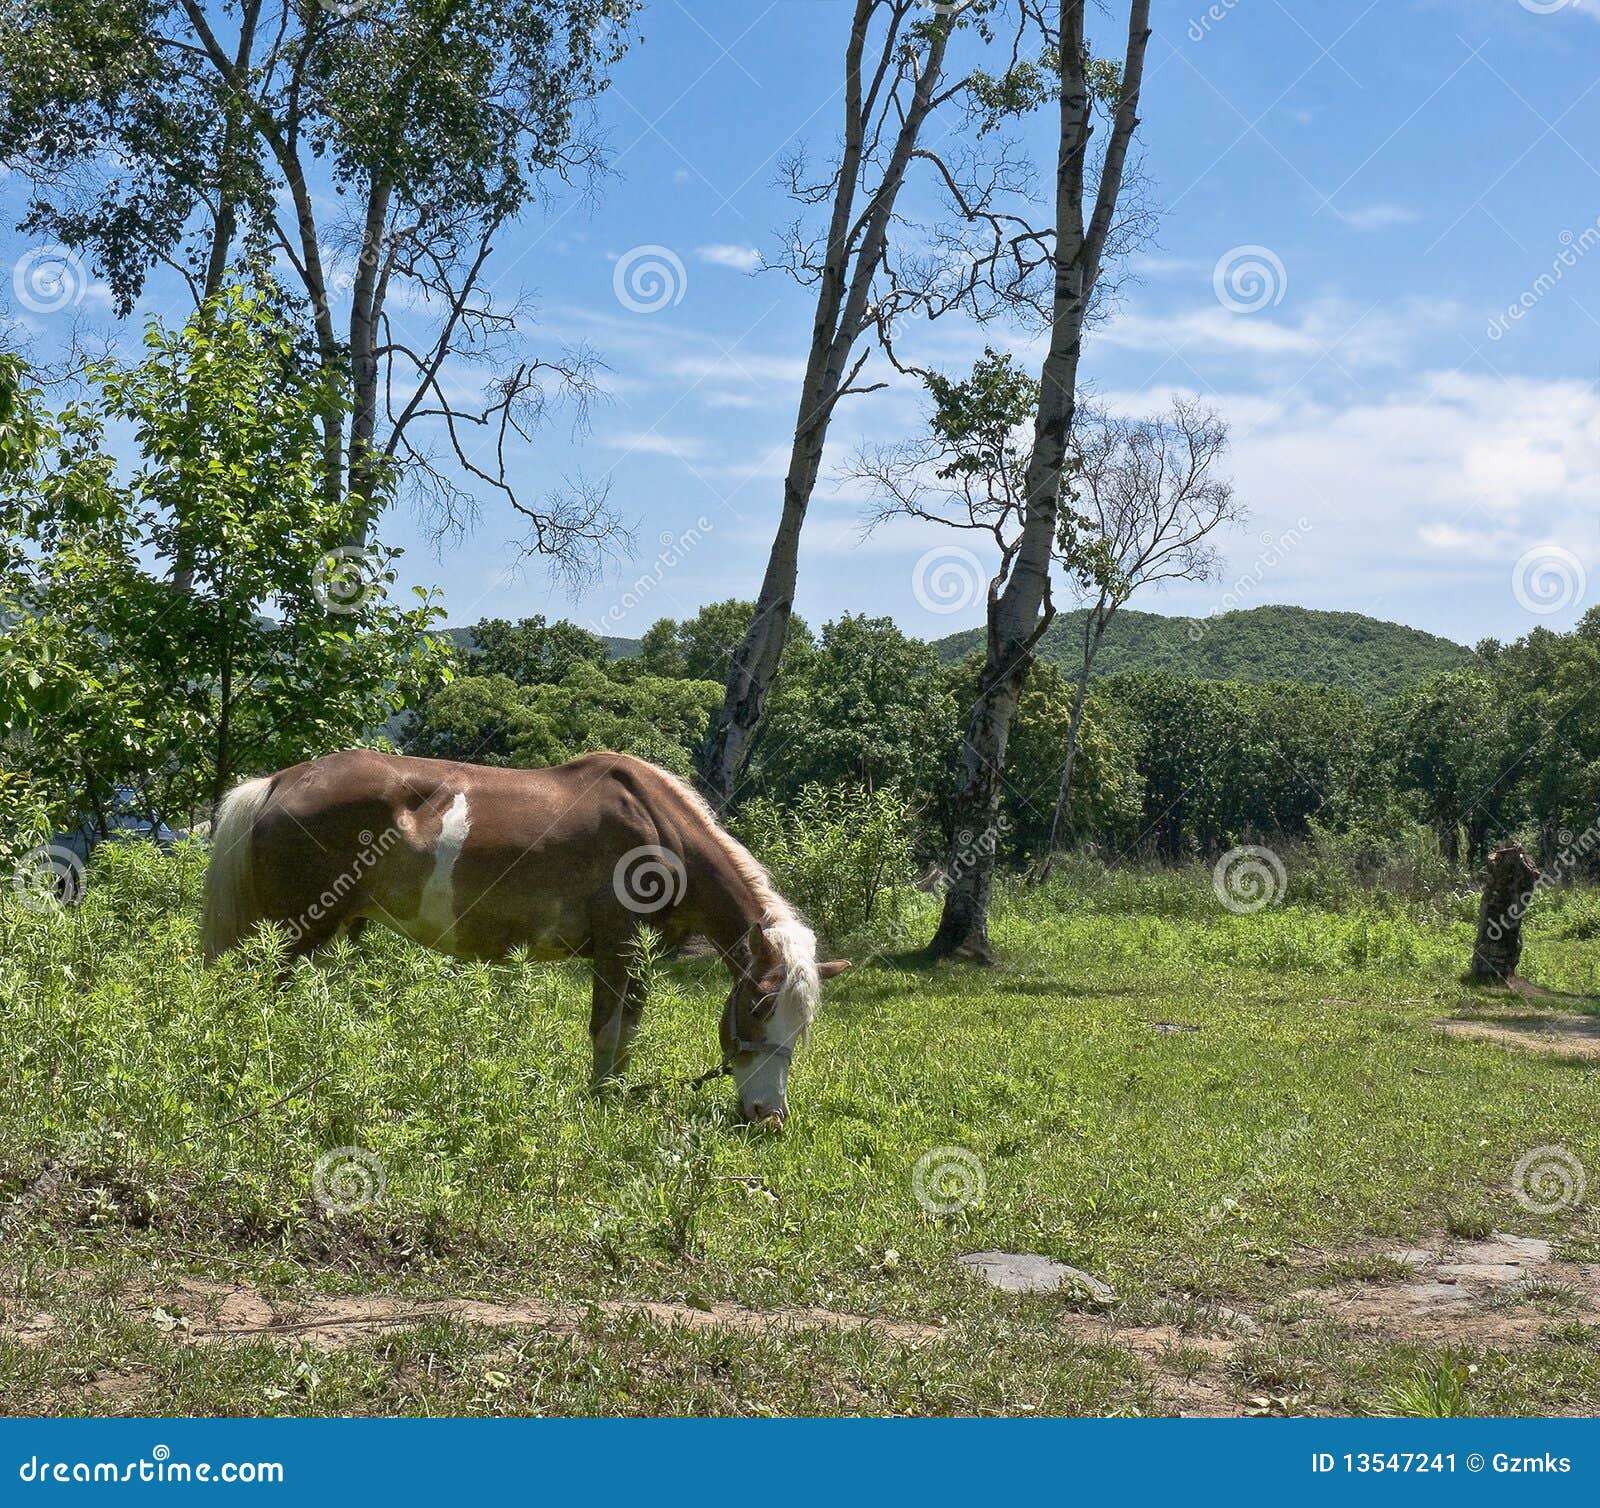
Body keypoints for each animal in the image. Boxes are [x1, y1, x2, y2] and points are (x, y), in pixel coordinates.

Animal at [201, 748, 850, 1124]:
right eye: (758, 1007)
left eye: (804, 1024)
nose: (766, 1114)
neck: (655, 831)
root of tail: (282, 780)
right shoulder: (616, 946)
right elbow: (608, 1028)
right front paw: (602, 1101)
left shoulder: (636, 957)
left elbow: (628, 1028)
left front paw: (614, 1094)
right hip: (294, 929)